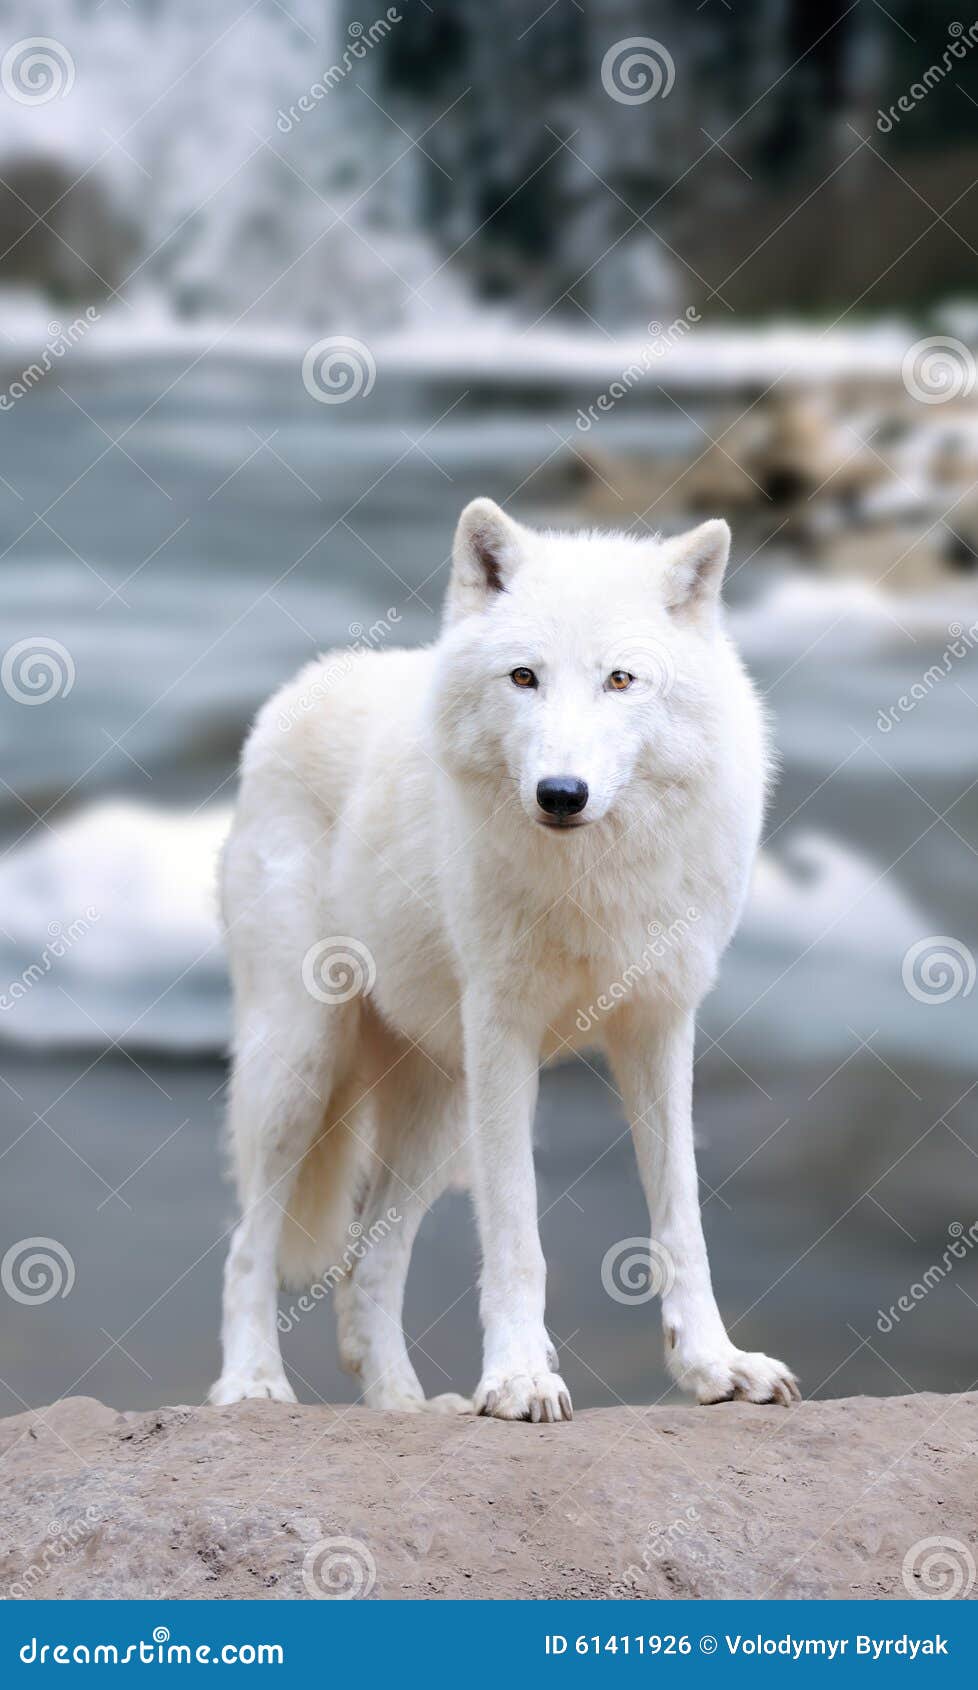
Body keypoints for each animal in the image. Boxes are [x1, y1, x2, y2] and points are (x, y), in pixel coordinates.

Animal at [210, 499, 799, 1421]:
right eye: (524, 678)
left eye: (621, 680)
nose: (560, 794)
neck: (591, 880)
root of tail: (299, 689)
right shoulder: (503, 1035)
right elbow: (518, 1234)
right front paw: (520, 1378)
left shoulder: (659, 1026)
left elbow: (682, 1221)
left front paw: (714, 1366)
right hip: (301, 1069)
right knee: (249, 1244)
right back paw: (253, 1384)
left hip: (436, 1111)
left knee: (365, 1269)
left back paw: (406, 1407)